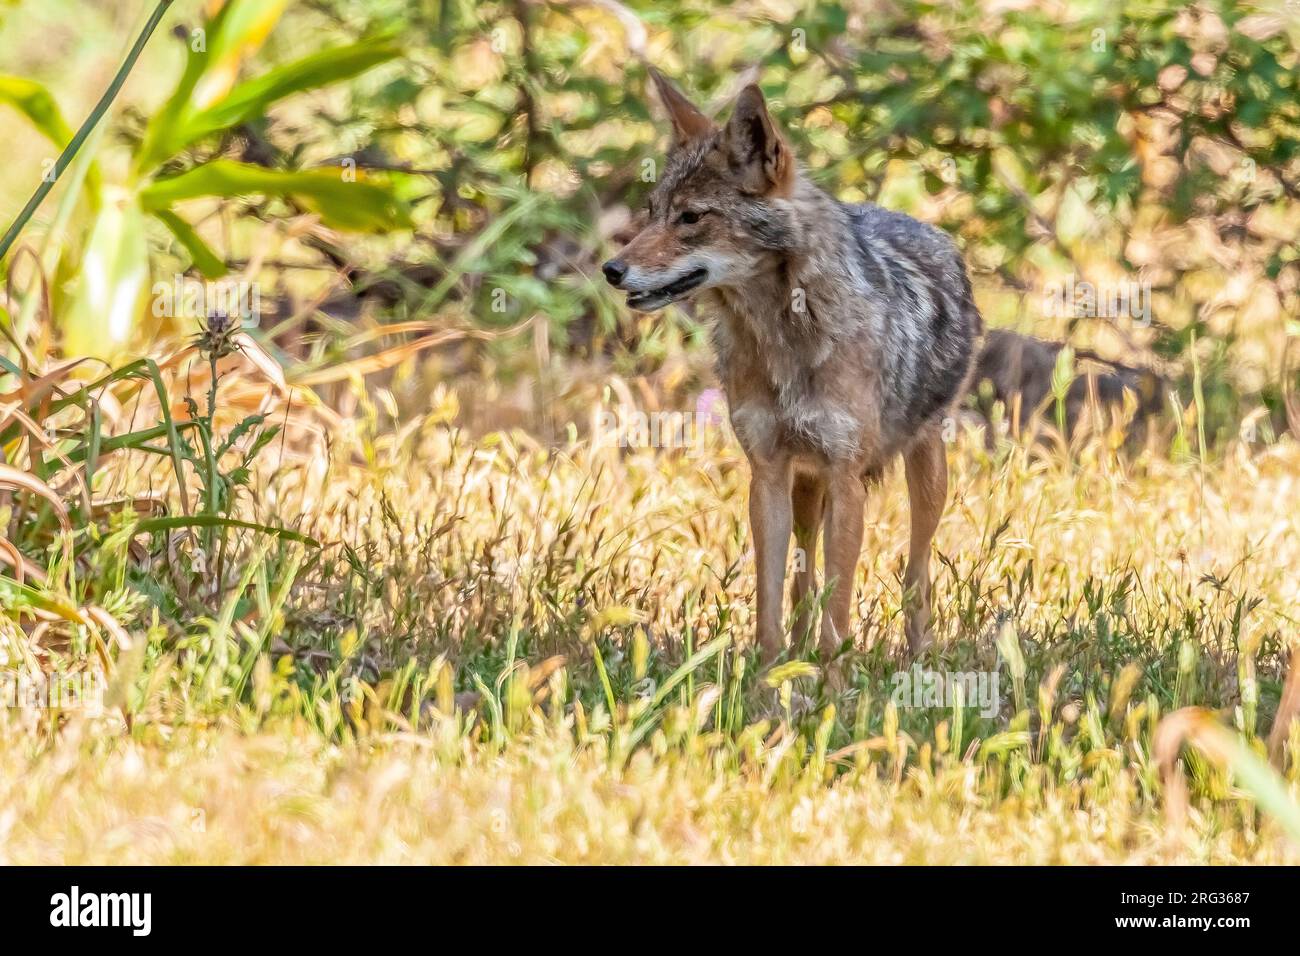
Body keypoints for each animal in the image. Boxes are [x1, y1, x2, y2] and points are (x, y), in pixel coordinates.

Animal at [602, 70, 982, 662]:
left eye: (691, 218)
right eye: (651, 211)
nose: (611, 269)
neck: (784, 340)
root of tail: (929, 228)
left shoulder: (847, 480)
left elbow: (839, 614)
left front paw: (833, 679)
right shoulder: (768, 474)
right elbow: (772, 606)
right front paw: (770, 677)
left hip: (925, 471)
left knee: (916, 578)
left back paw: (917, 659)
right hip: (808, 483)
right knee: (805, 581)